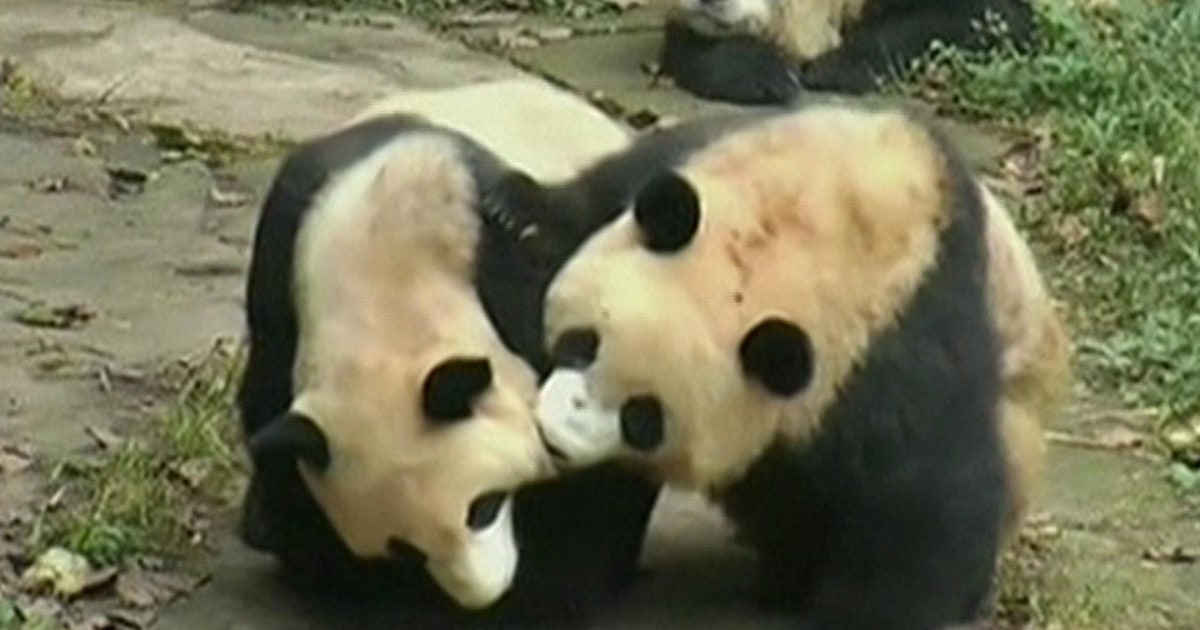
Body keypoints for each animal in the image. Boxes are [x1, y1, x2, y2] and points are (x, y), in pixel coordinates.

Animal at [236, 78, 663, 625]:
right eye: (405, 549)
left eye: (484, 506)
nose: (483, 594)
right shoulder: (282, 270)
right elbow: (272, 420)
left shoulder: (531, 276)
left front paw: (551, 586)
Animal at [534, 102, 1069, 629]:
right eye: (583, 344)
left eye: (643, 416)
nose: (557, 434)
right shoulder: (671, 166)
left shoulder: (899, 348)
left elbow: (924, 501)